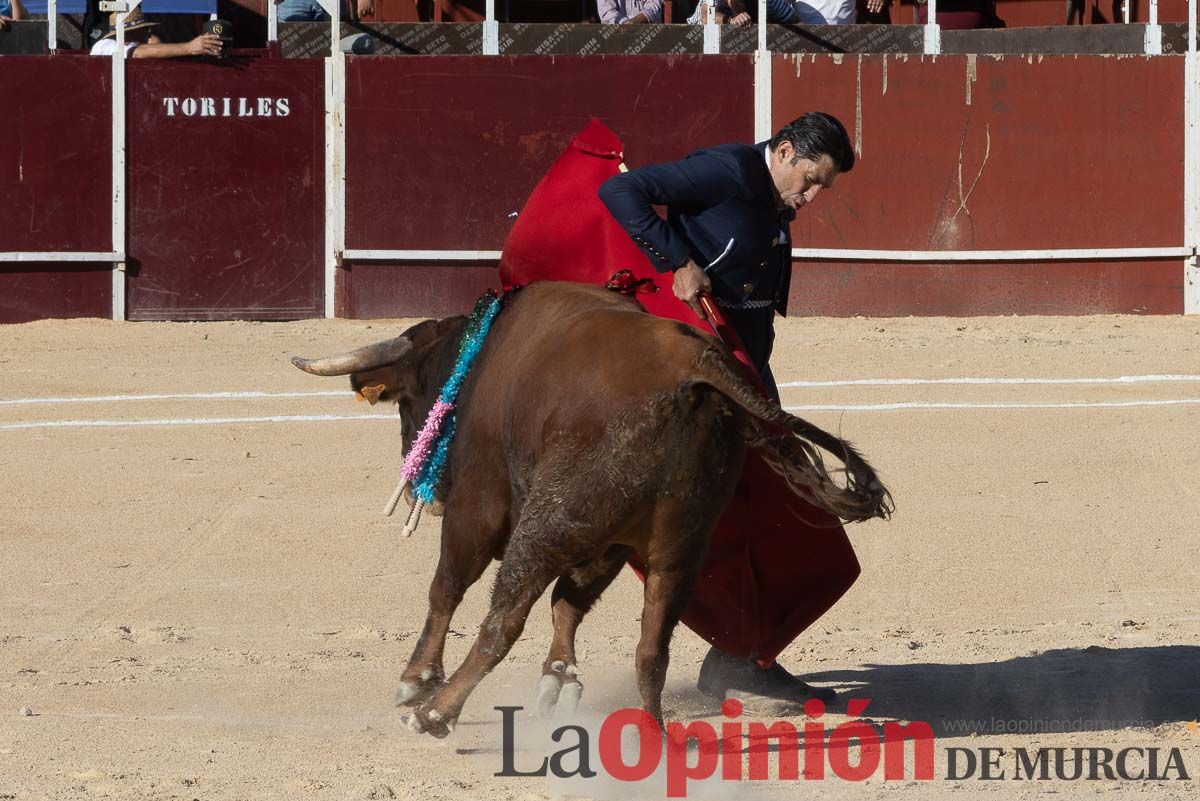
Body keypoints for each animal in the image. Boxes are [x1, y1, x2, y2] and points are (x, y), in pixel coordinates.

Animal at [292, 281, 892, 738]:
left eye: (410, 401)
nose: (426, 487)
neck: (479, 357)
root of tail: (697, 368)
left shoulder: (479, 506)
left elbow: (449, 588)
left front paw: (417, 680)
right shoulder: (613, 542)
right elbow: (571, 604)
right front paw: (559, 679)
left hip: (546, 525)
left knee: (503, 620)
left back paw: (436, 714)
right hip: (679, 549)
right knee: (650, 648)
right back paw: (652, 737)